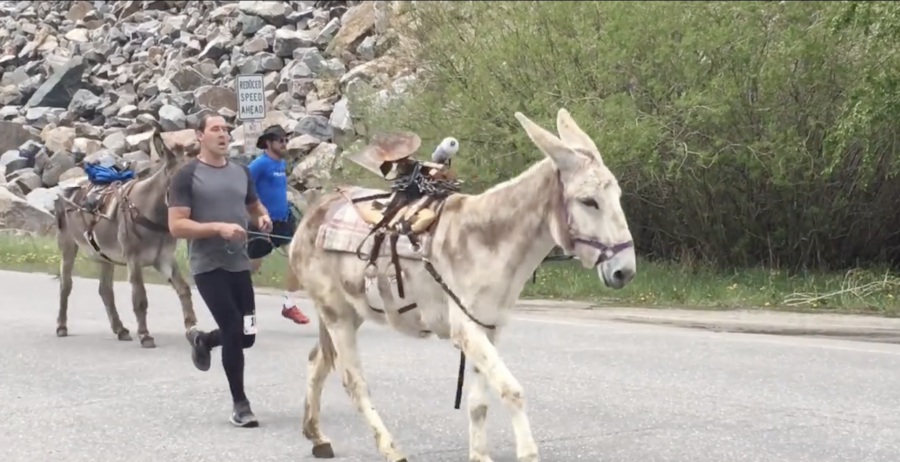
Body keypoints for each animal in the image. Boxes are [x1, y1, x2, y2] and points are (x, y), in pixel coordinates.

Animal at [53, 130, 198, 349]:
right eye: (178, 182)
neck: (151, 213)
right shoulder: (134, 259)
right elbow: (140, 298)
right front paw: (145, 335)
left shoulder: (163, 258)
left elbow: (184, 289)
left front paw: (192, 328)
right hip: (68, 244)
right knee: (65, 285)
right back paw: (61, 326)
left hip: (104, 254)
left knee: (105, 290)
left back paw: (120, 329)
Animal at [287, 108, 637, 462]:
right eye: (589, 201)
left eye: (617, 196)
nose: (624, 272)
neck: (489, 240)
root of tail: (313, 213)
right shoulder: (466, 329)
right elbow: (511, 390)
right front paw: (527, 452)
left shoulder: (487, 329)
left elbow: (480, 401)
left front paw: (480, 455)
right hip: (338, 316)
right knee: (353, 381)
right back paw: (390, 448)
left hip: (347, 313)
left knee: (317, 361)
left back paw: (317, 436)